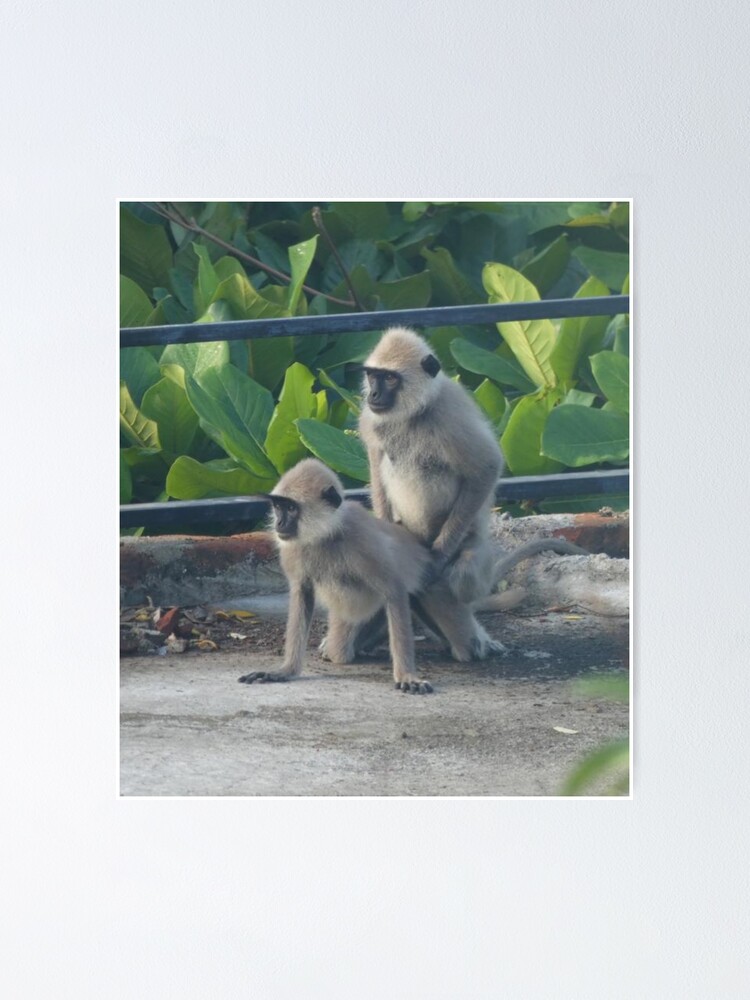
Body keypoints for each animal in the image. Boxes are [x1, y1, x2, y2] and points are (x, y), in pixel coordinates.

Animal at [237, 459, 435, 693]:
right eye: (278, 507)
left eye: (291, 508)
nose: (279, 524)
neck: (325, 535)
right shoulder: (293, 550)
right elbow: (302, 595)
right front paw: (285, 671)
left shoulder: (361, 538)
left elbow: (394, 590)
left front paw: (406, 675)